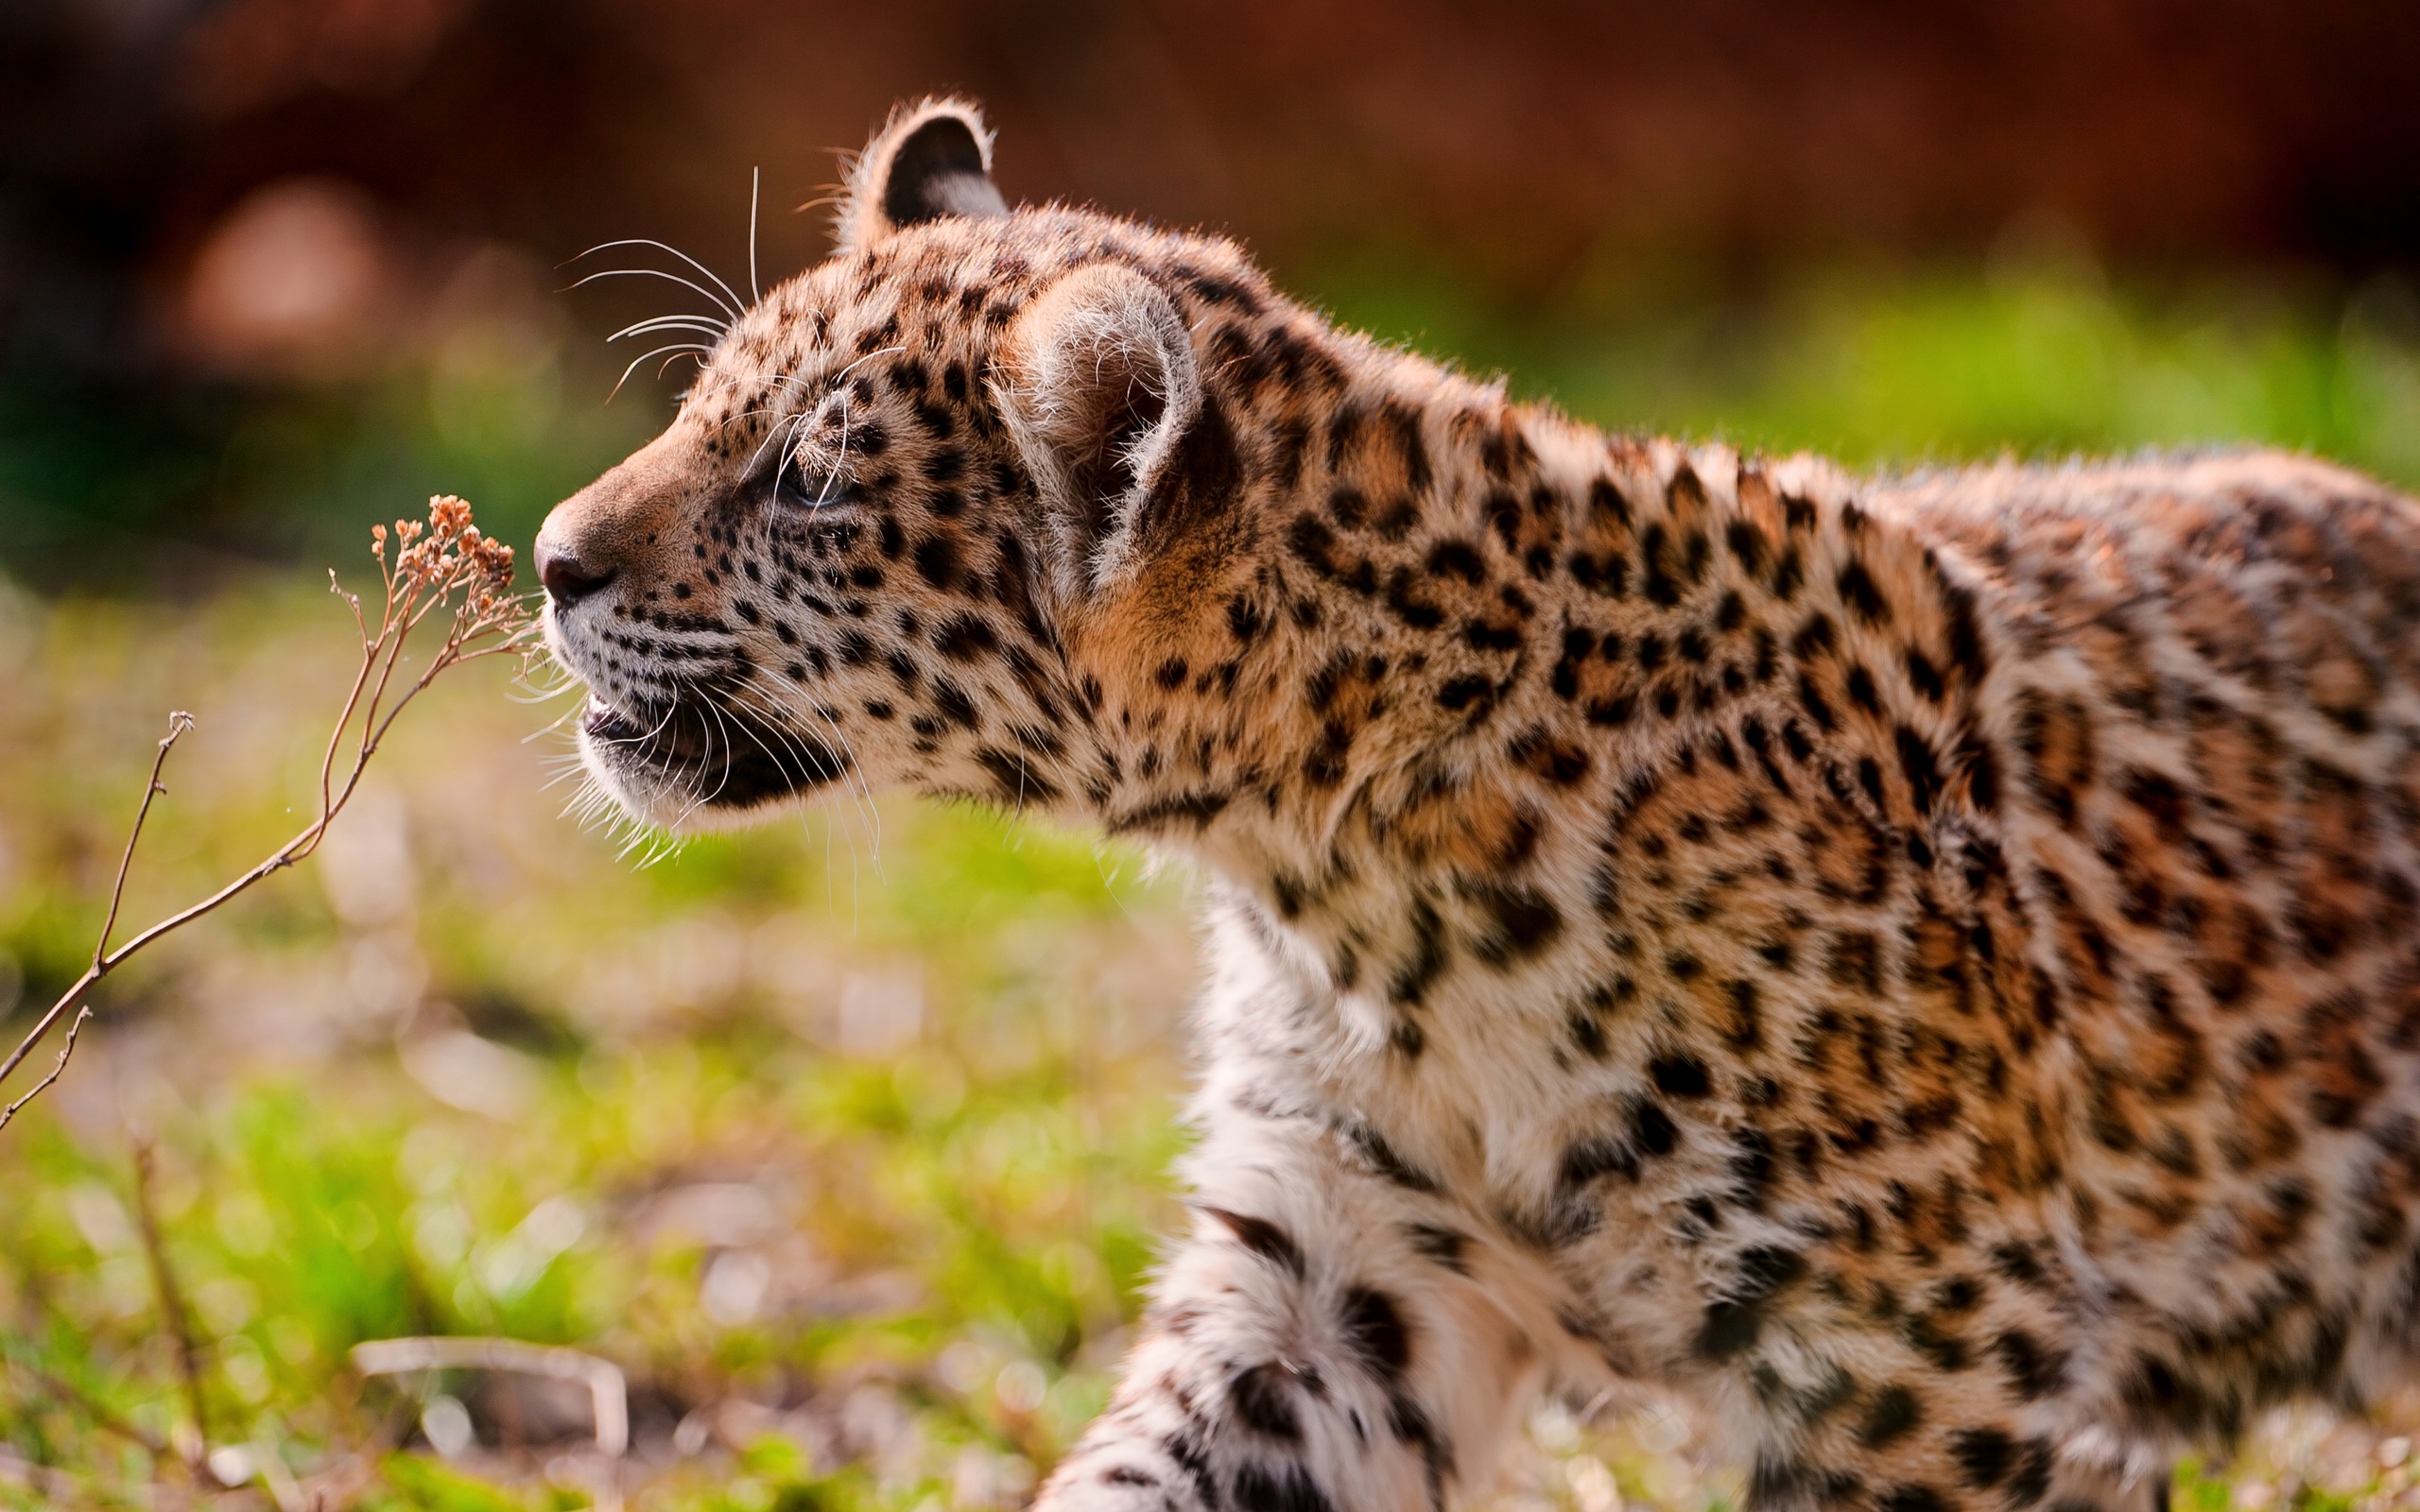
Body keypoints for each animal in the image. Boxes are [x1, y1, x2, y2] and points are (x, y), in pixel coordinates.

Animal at [535, 98, 2420, 1512]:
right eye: (704, 405)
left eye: (806, 481)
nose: (551, 560)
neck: (1364, 870)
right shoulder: (1329, 1284)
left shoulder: (1920, 1354)